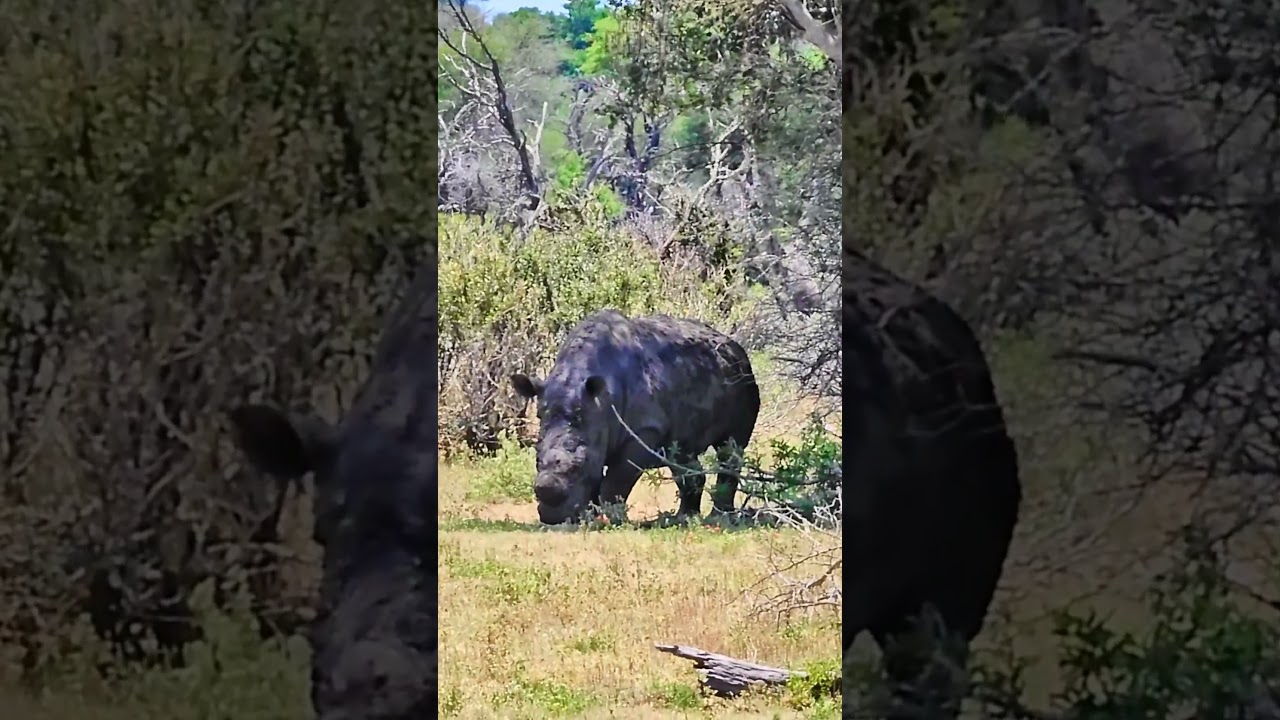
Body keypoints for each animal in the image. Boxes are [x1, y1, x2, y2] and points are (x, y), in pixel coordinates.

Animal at [511, 310, 760, 525]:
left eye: (579, 465)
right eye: (537, 460)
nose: (553, 518)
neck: (599, 403)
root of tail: (735, 345)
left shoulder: (643, 430)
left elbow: (617, 478)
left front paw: (608, 519)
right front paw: (591, 517)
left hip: (743, 379)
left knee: (731, 446)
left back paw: (719, 518)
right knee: (682, 453)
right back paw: (683, 518)